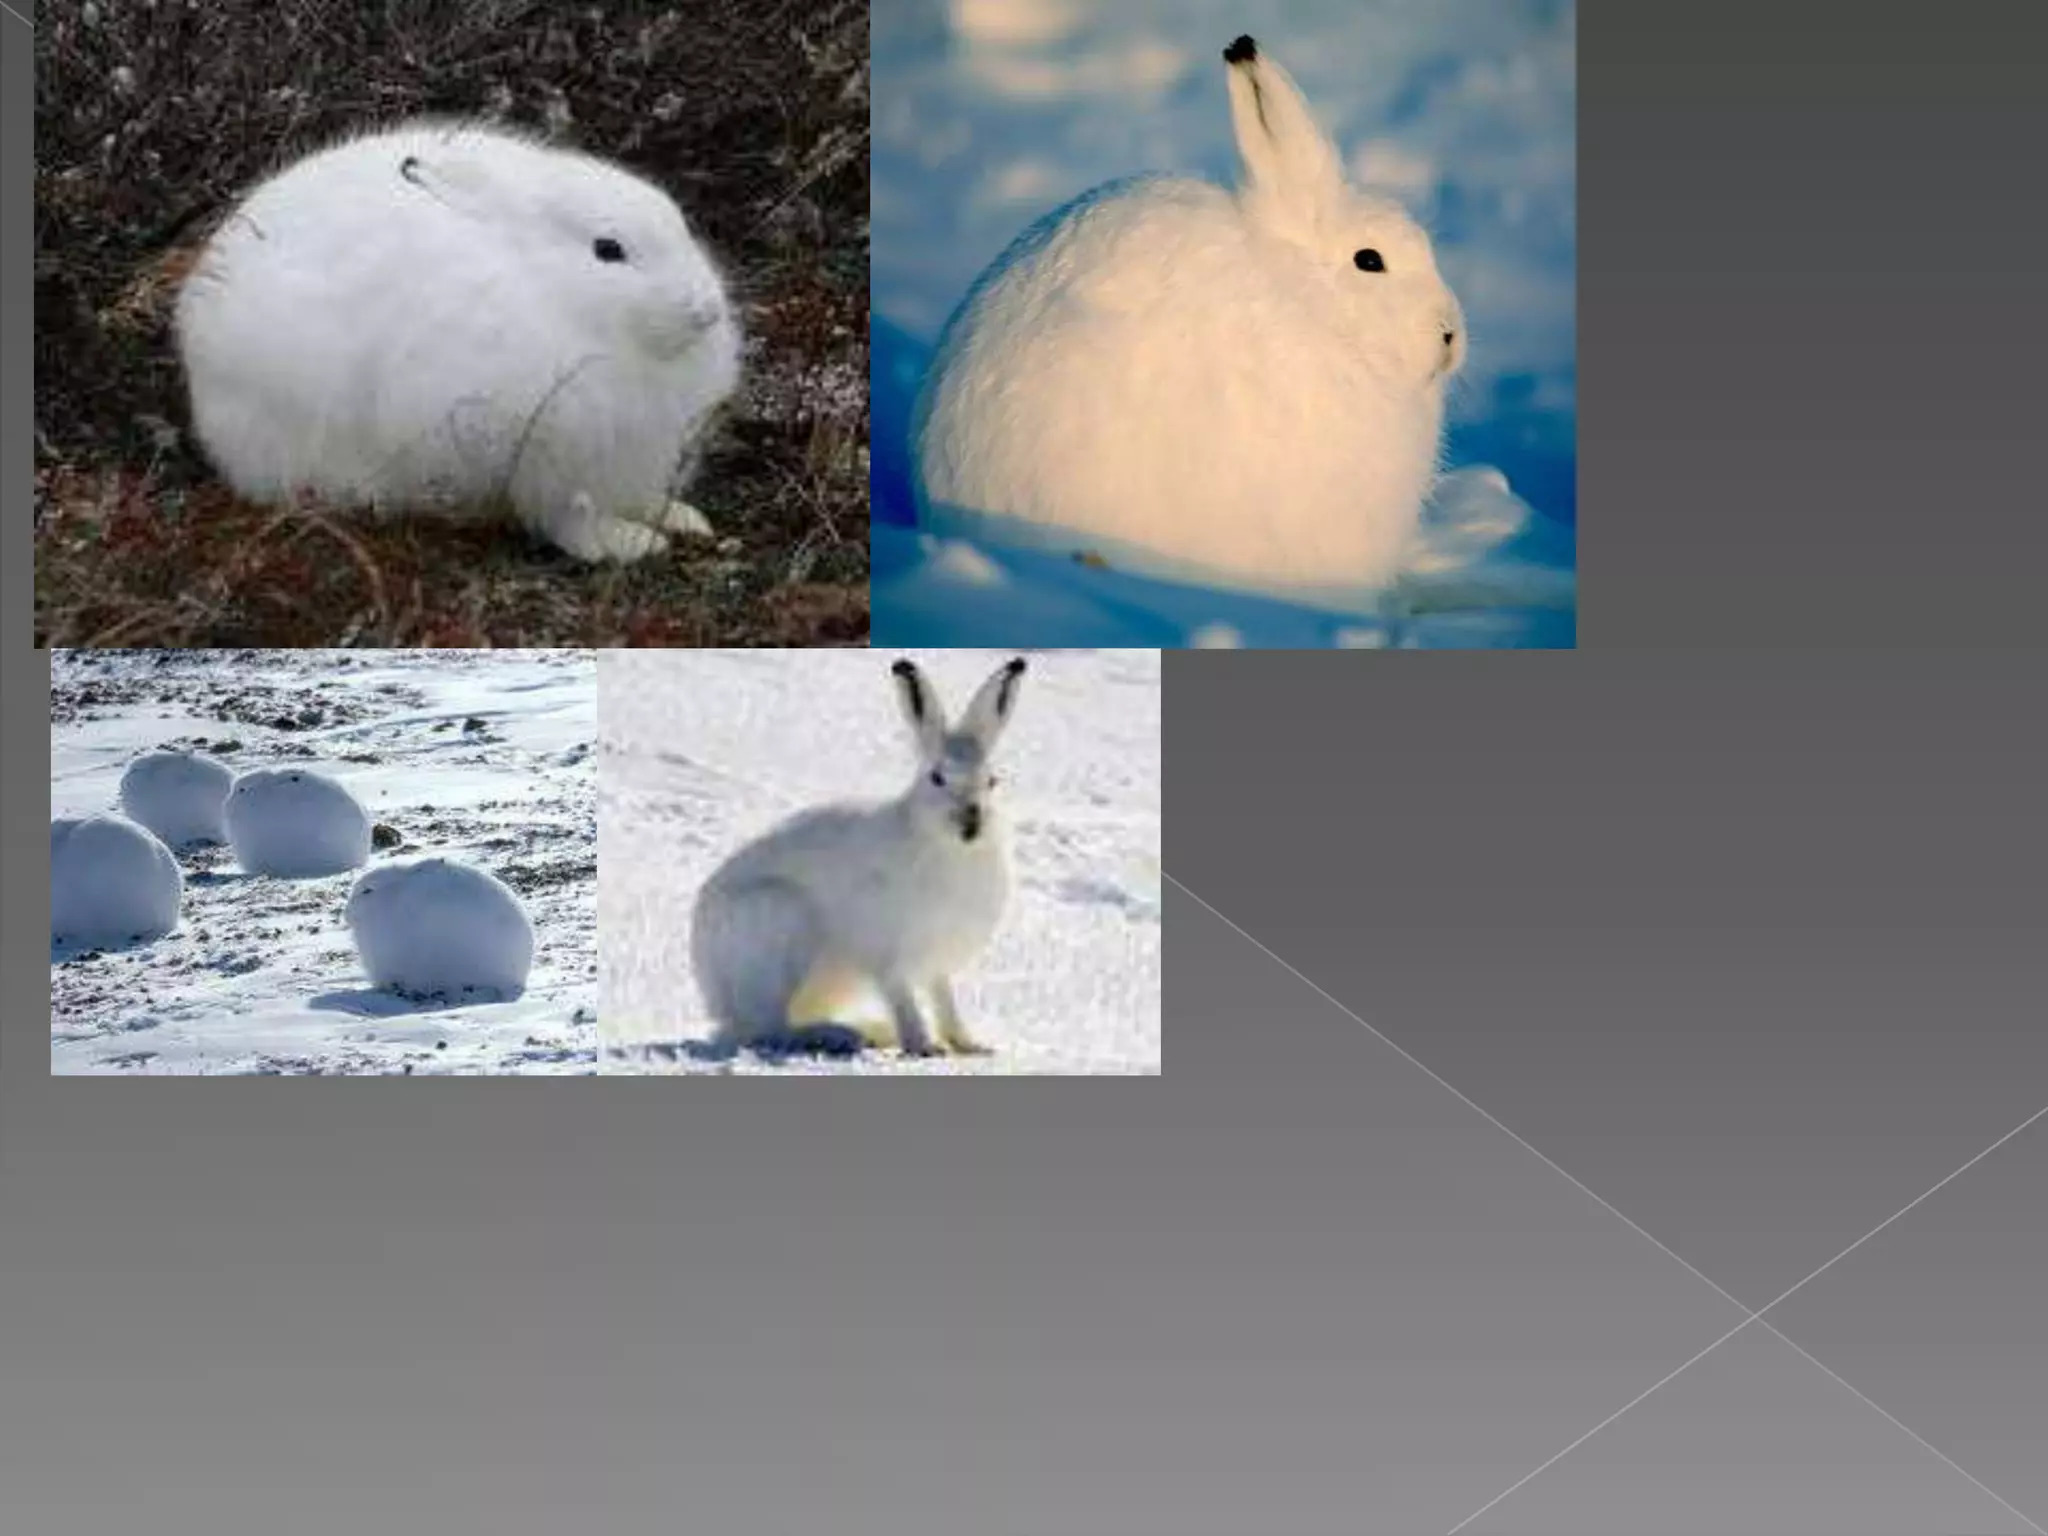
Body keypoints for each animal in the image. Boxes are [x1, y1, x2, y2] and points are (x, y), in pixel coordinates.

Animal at [174, 119, 742, 564]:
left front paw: (681, 517)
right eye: (608, 250)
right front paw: (629, 543)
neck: (549, 289)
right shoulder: (534, 456)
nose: (705, 311)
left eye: (678, 221)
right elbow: (566, 517)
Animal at [690, 656, 1029, 1058]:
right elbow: (902, 999)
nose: (971, 823)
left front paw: (970, 1044)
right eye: (936, 778)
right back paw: (840, 1036)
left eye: (993, 781)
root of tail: (712, 986)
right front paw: (924, 1046)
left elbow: (943, 1000)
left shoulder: (937, 964)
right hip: (777, 925)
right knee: (770, 1028)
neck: (947, 848)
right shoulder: (888, 955)